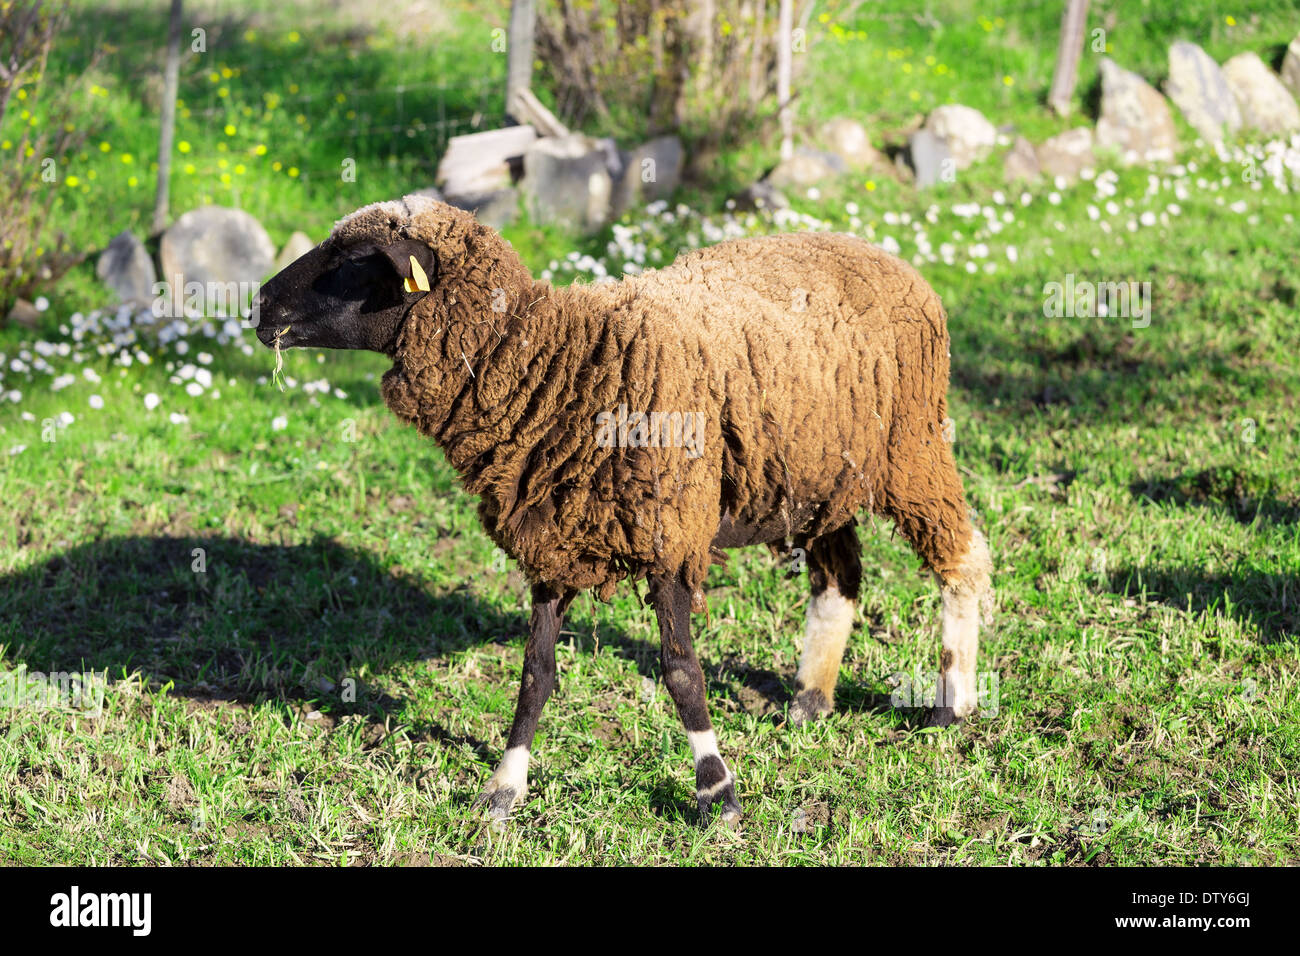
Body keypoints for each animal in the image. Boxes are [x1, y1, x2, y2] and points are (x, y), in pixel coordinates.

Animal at [252, 193, 993, 825]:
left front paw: (717, 791)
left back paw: (952, 705)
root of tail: (886, 256)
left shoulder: (669, 534)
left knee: (963, 557)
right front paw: (502, 791)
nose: (258, 303)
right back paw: (811, 700)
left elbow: (682, 673)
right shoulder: (553, 540)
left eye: (355, 262)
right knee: (839, 577)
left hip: (913, 447)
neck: (563, 366)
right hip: (818, 478)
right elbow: (534, 675)